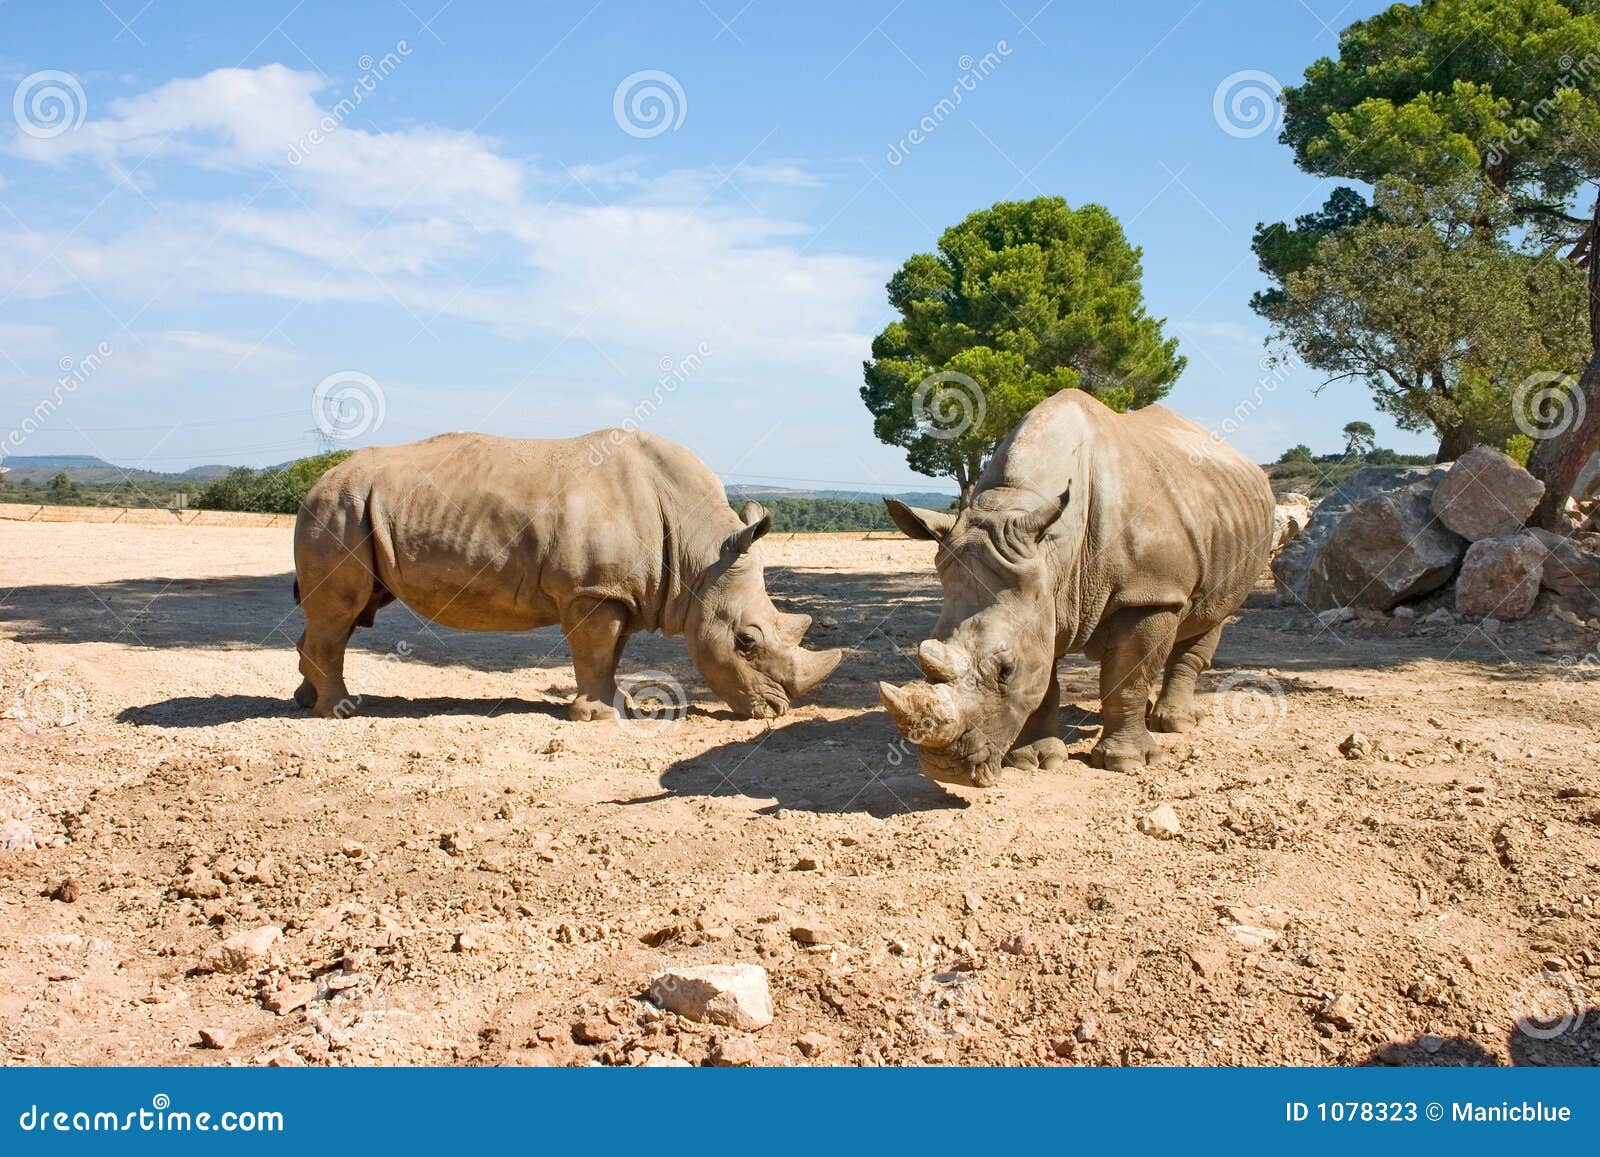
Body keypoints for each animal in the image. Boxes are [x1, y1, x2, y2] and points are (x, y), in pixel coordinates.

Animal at [292, 429, 841, 721]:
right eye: (746, 641)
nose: (777, 710)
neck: (701, 555)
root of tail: (319, 478)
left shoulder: (620, 592)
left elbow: (610, 653)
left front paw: (618, 707)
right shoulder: (590, 591)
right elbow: (594, 651)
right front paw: (596, 717)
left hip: (355, 508)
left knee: (349, 612)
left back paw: (306, 700)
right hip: (338, 507)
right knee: (341, 611)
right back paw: (337, 711)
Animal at [877, 390, 1274, 786]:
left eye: (1005, 670)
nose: (945, 770)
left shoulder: (1149, 592)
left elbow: (1126, 677)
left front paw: (1125, 762)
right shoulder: (1043, 596)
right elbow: (1044, 683)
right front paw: (1036, 761)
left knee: (1211, 617)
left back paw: (1174, 724)